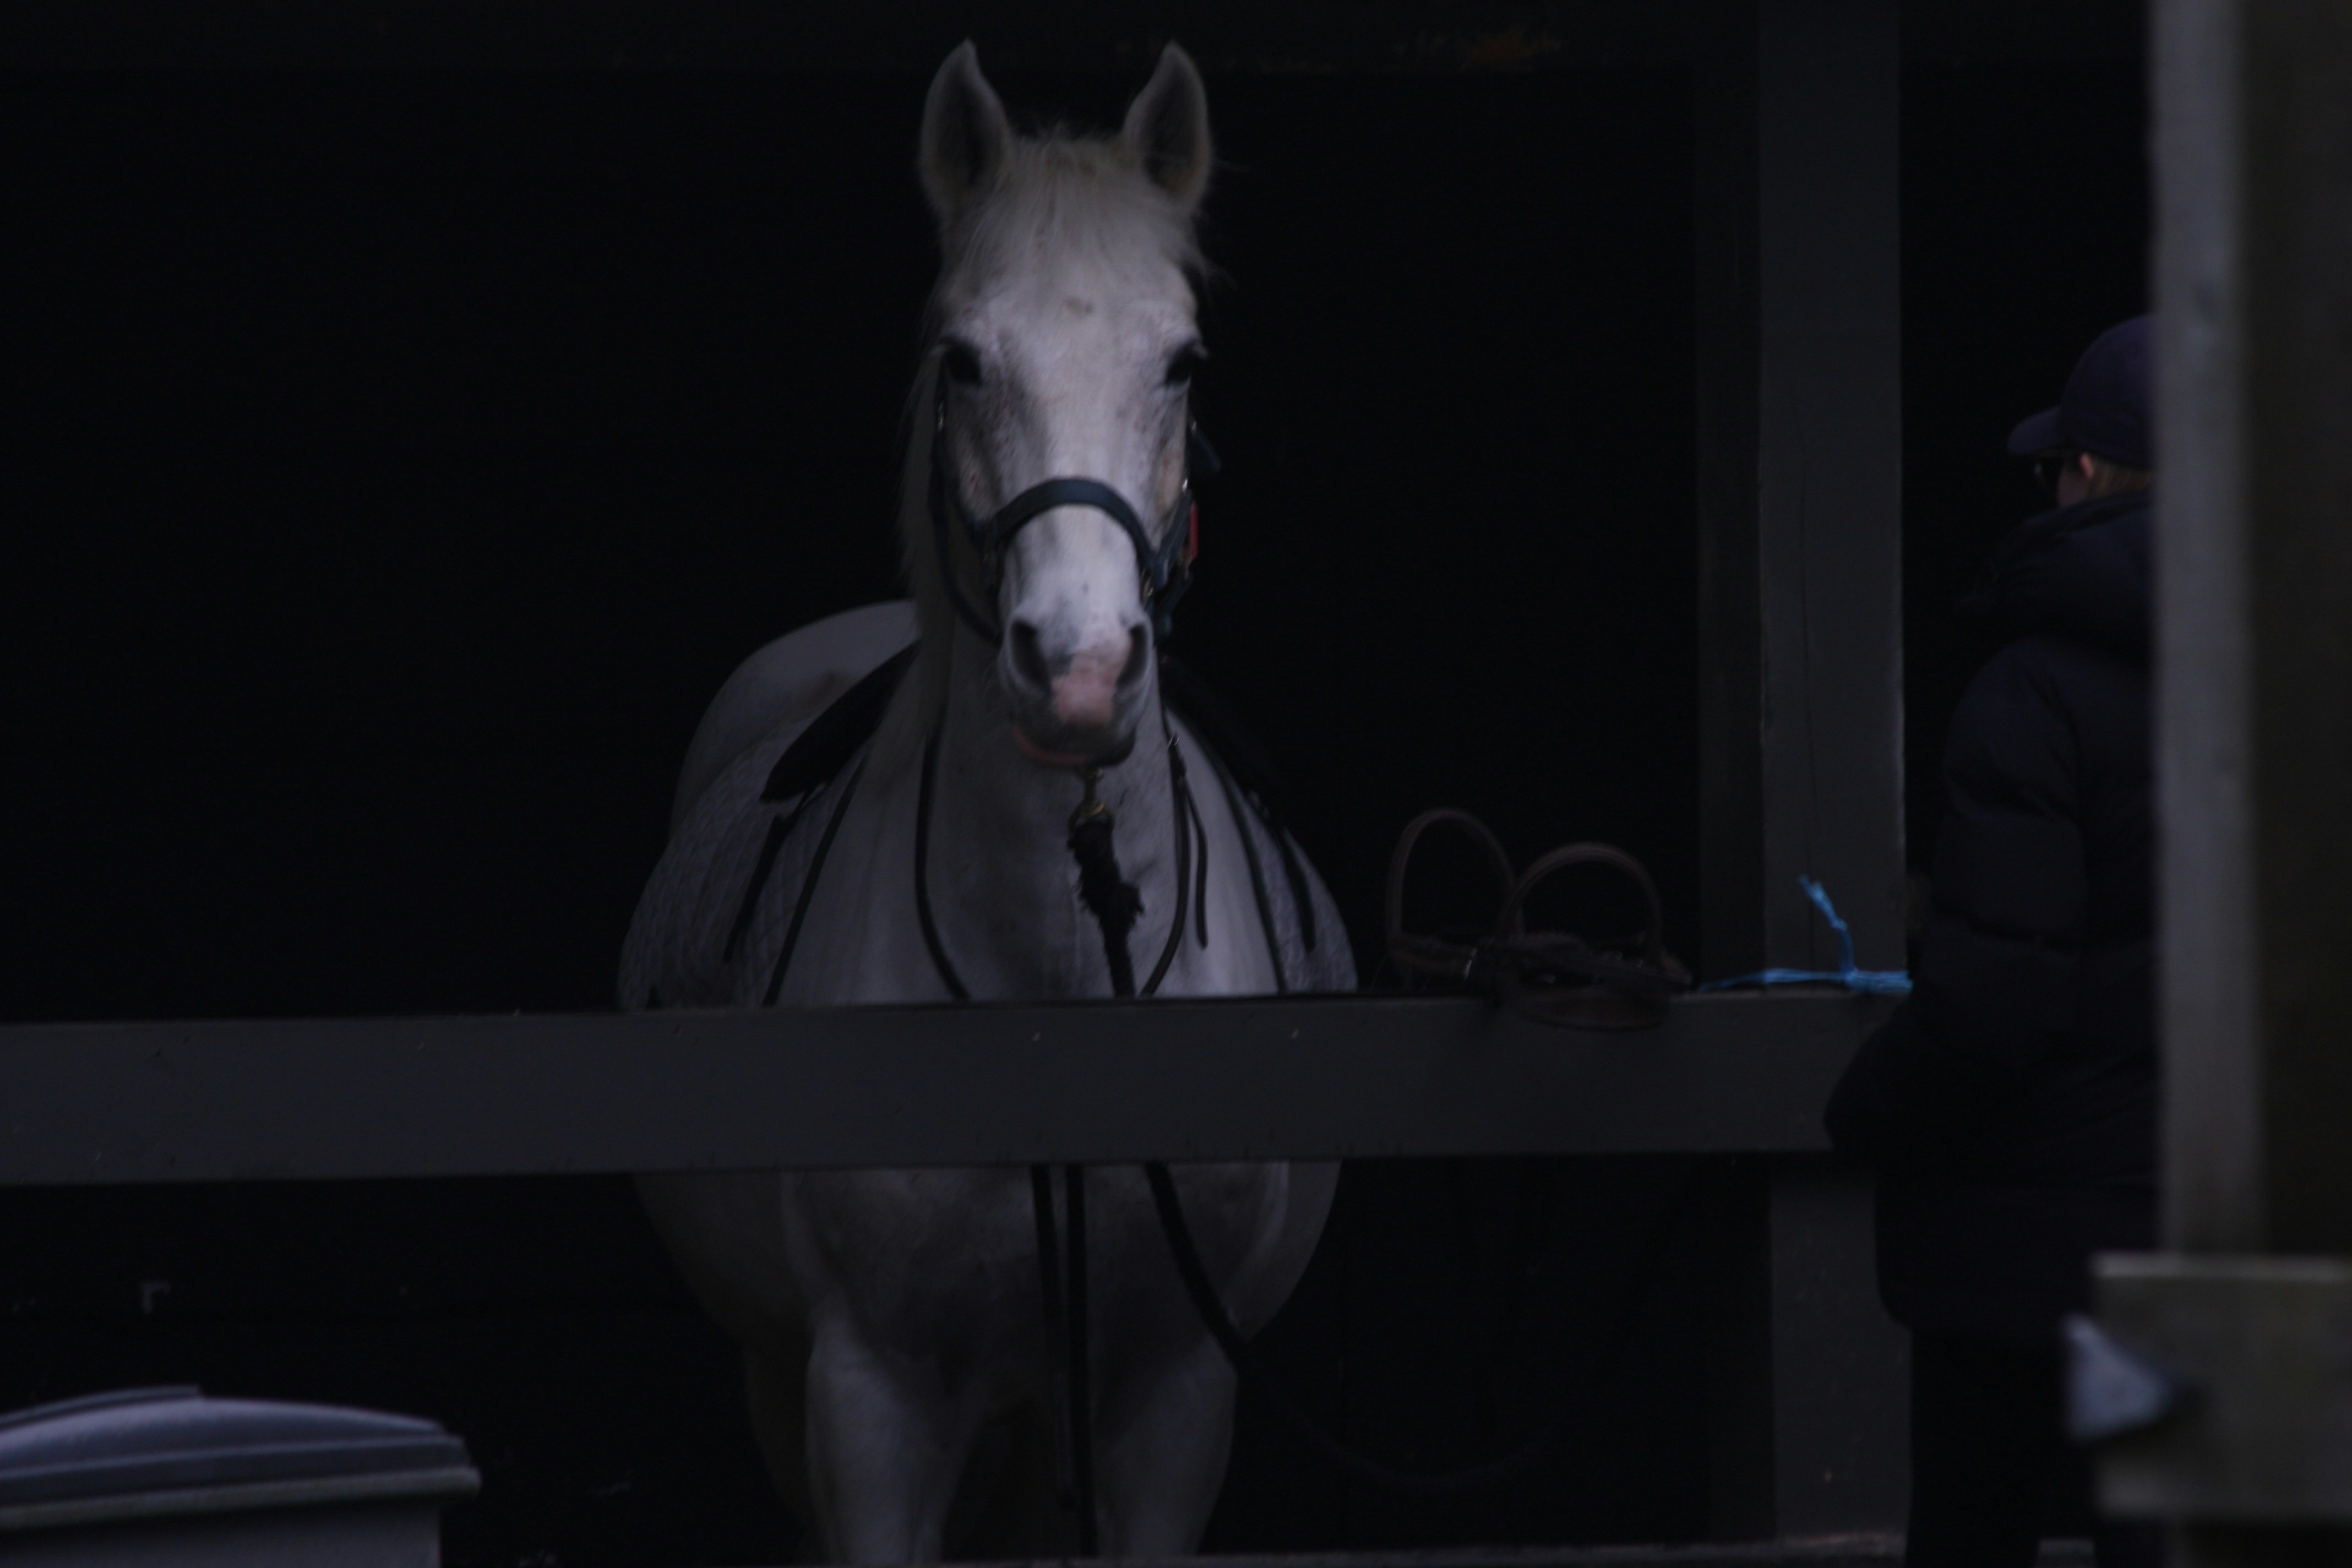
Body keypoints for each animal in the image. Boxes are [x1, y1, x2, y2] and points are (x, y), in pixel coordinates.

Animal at [620, 42, 1353, 1563]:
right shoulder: (872, 1405)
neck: (1051, 1000)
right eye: (962, 359)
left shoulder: (1171, 1403)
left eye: (1181, 361)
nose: (1077, 669)